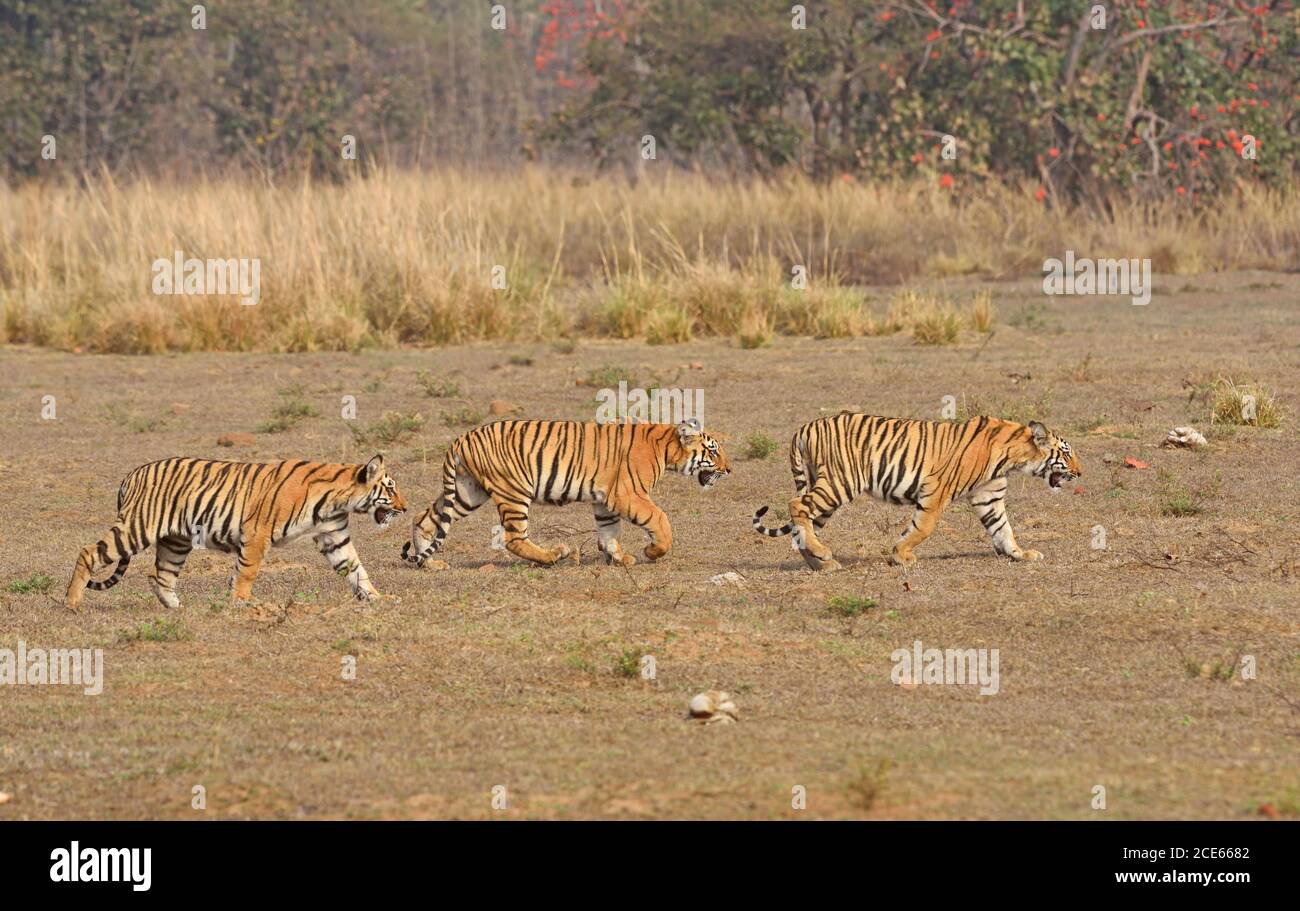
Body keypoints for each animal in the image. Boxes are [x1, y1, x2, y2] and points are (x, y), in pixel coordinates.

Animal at [65, 455, 407, 611]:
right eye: (391, 488)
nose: (405, 508)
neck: (338, 498)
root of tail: (132, 473)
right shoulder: (257, 532)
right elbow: (248, 570)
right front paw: (244, 601)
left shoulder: (334, 536)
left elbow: (357, 569)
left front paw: (378, 597)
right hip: (137, 528)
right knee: (88, 552)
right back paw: (72, 603)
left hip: (176, 541)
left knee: (160, 575)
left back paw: (177, 608)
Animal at [402, 418, 730, 568]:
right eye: (713, 451)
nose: (729, 469)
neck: (665, 447)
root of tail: (461, 438)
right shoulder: (627, 494)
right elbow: (660, 520)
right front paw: (653, 551)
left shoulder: (605, 500)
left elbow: (609, 532)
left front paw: (620, 558)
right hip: (513, 492)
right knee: (513, 538)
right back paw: (553, 555)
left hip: (467, 493)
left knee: (424, 519)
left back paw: (428, 563)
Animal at [753, 414, 1080, 570]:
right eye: (1067, 453)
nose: (1080, 473)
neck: (1013, 458)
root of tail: (804, 428)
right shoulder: (935, 491)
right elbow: (922, 527)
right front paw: (901, 556)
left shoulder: (989, 498)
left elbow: (1004, 530)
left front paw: (1021, 554)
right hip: (838, 483)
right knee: (796, 506)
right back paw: (823, 555)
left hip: (828, 492)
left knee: (803, 525)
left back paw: (823, 564)